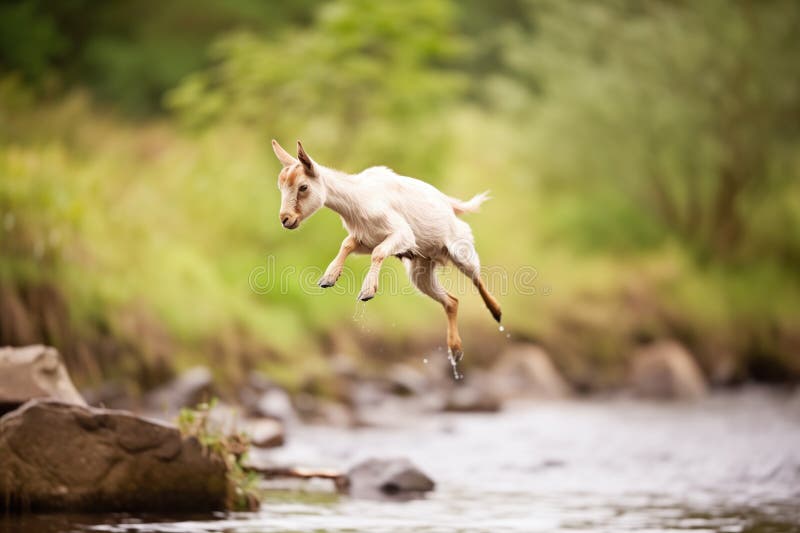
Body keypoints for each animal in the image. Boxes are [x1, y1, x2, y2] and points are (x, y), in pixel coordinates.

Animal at [271, 139, 502, 361]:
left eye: (303, 187)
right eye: (280, 187)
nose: (285, 219)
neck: (358, 198)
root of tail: (451, 206)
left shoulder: (402, 234)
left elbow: (379, 252)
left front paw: (367, 291)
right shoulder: (366, 238)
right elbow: (347, 245)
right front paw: (329, 278)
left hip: (460, 248)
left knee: (476, 278)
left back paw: (496, 312)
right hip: (421, 271)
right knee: (451, 301)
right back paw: (455, 350)